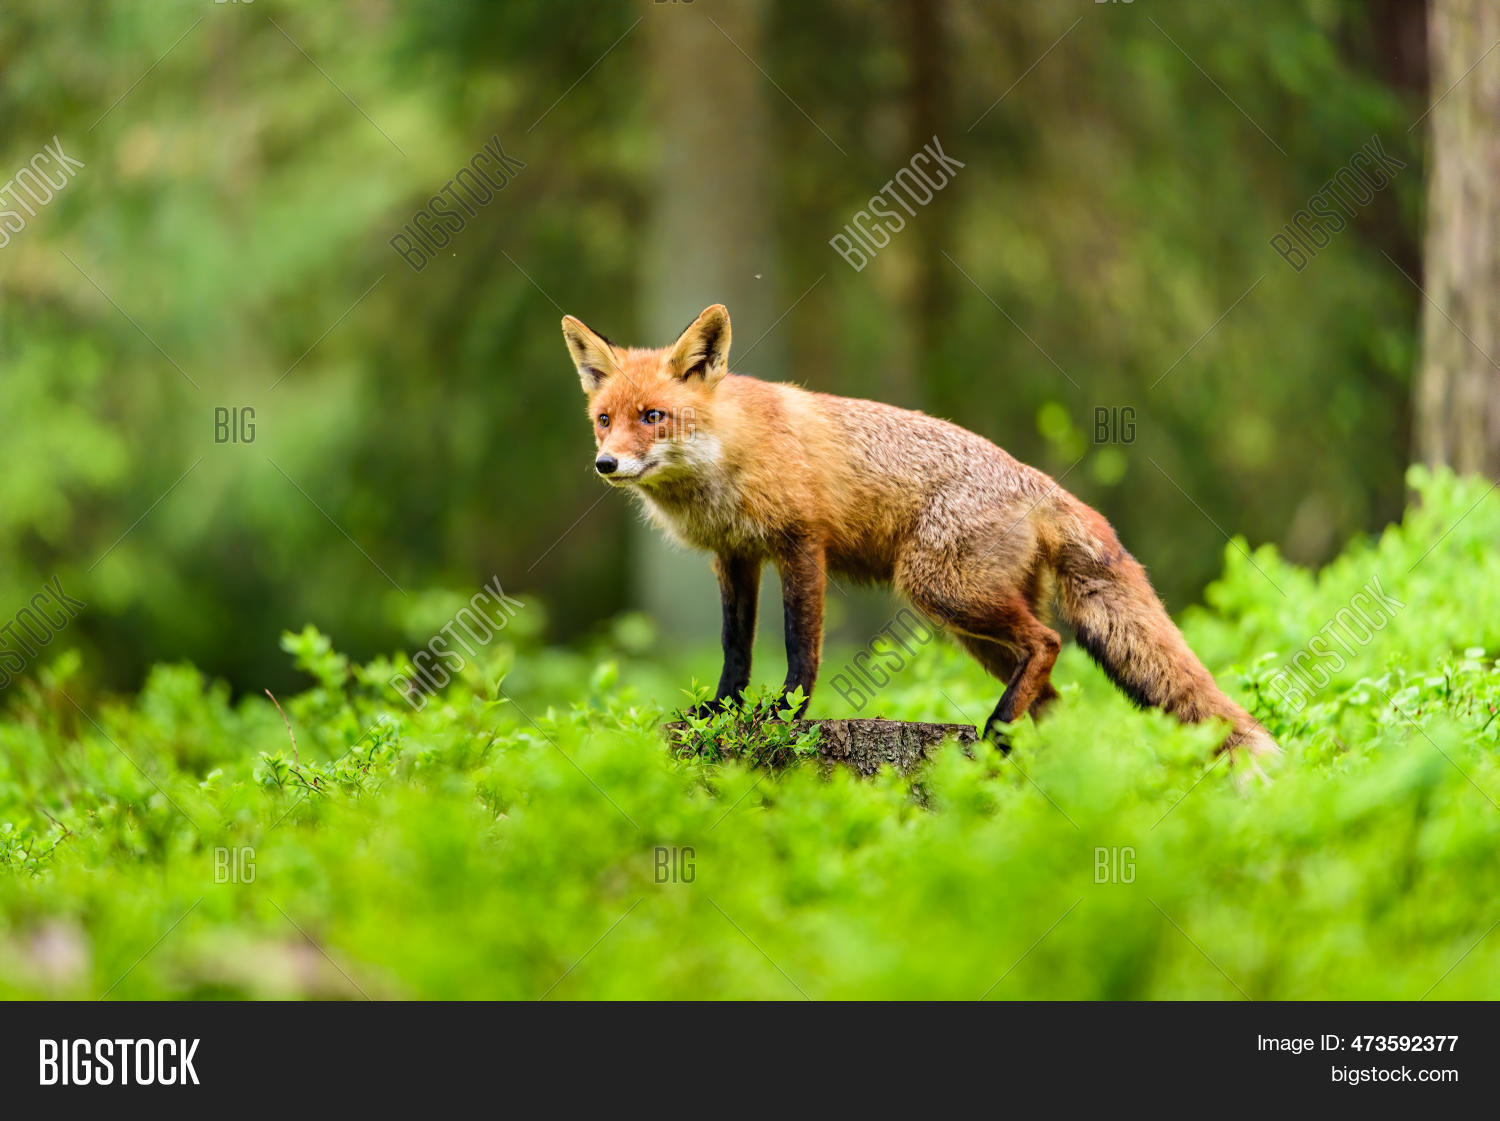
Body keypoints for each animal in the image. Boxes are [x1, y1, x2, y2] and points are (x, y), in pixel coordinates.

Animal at [561, 303, 1279, 768]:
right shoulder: (733, 555)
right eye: (604, 420)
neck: (725, 459)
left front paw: (784, 716)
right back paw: (1034, 751)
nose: (605, 464)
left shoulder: (801, 543)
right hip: (973, 628)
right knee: (1053, 692)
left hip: (939, 590)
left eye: (654, 416)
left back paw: (996, 730)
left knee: (1048, 644)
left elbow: (799, 647)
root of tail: (1040, 483)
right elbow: (734, 648)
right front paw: (721, 711)